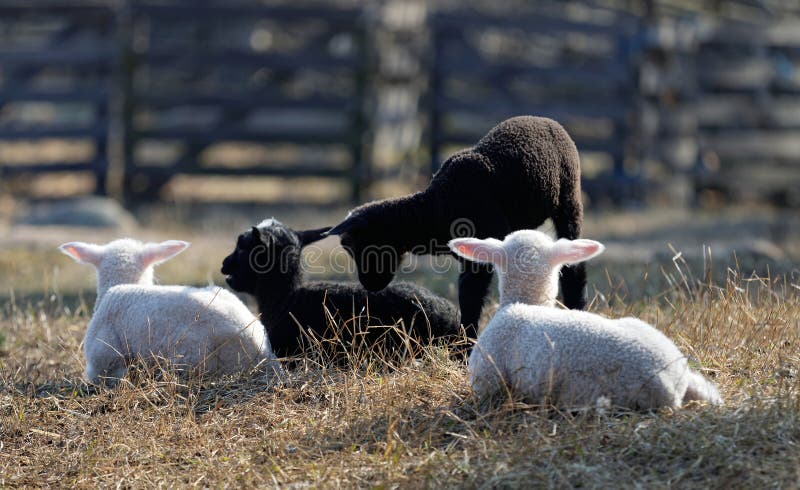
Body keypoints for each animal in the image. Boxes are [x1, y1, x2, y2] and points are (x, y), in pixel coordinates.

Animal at [327, 116, 586, 340]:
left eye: (360, 245)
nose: (368, 286)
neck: (433, 211)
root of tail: (543, 119)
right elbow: (465, 293)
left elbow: (470, 297)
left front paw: (466, 346)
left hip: (569, 201)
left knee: (574, 265)